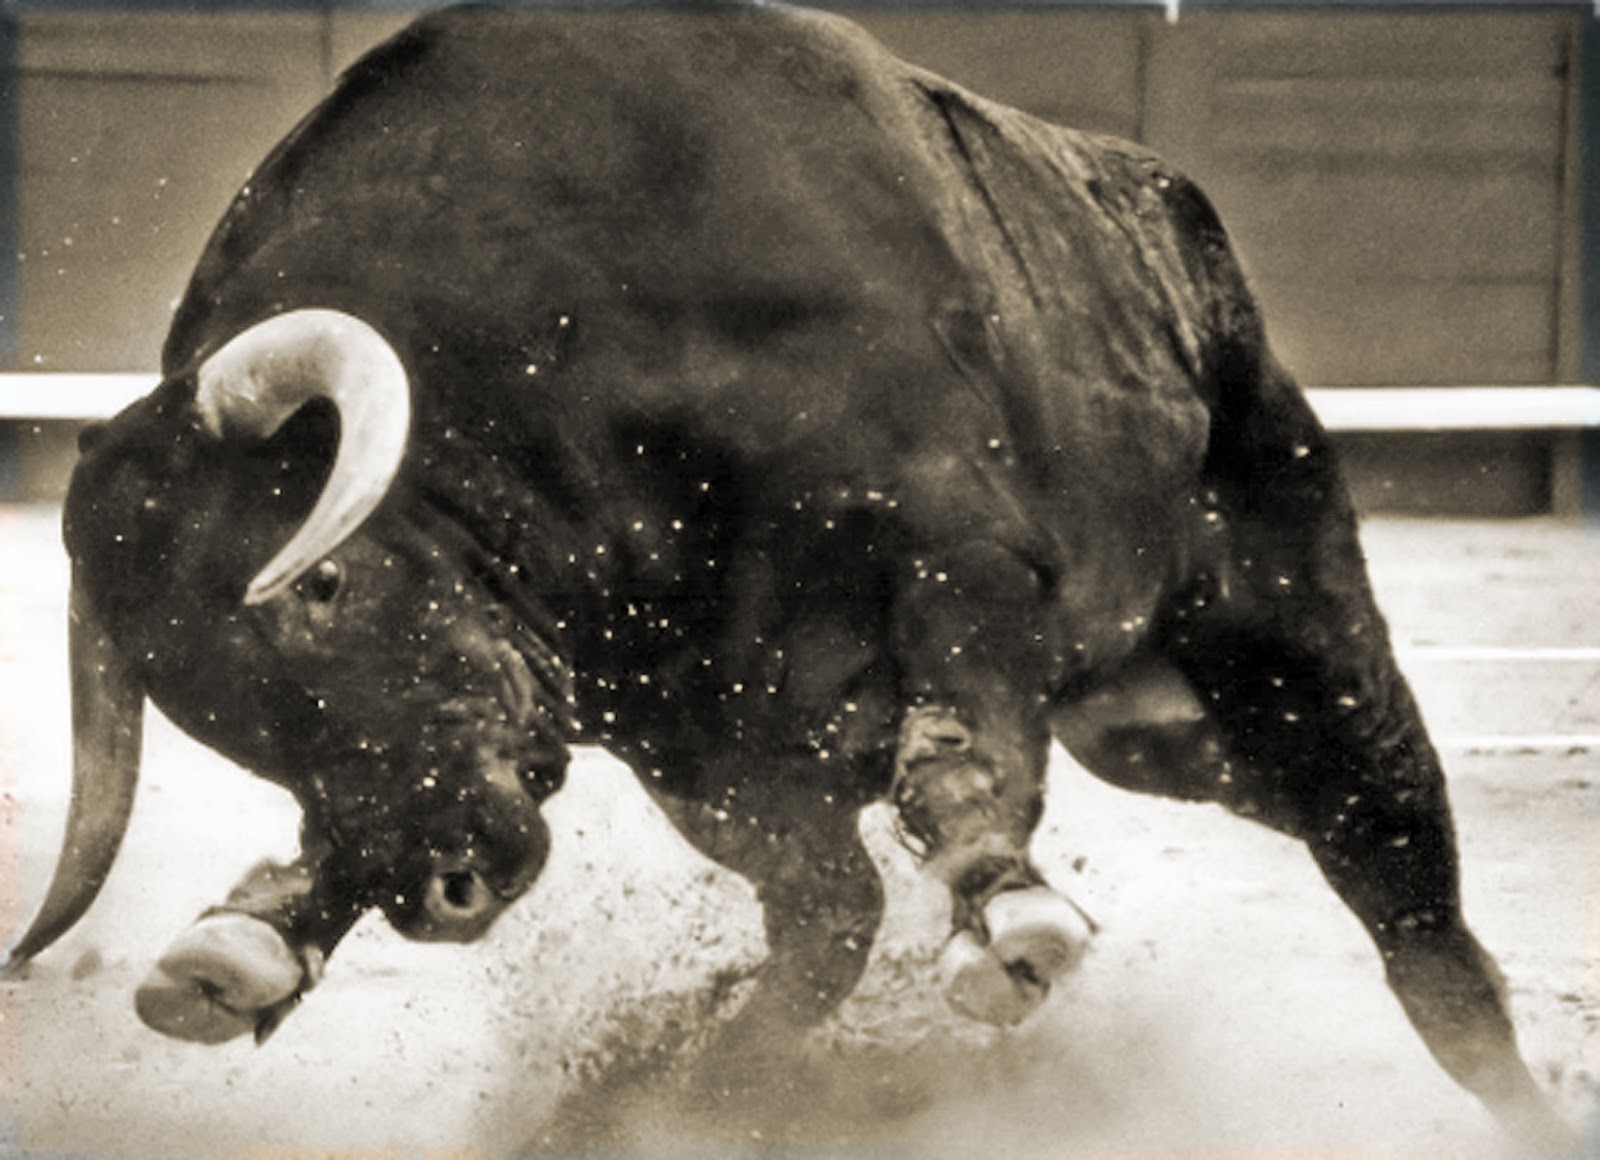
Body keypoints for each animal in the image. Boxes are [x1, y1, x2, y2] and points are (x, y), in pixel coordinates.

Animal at [4, 2, 1570, 1146]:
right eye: (220, 717)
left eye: (320, 591)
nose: (437, 885)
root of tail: (1160, 212)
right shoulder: (694, 746)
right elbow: (829, 909)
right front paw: (250, 941)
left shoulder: (959, 560)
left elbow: (956, 765)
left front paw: (1007, 916)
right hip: (1159, 733)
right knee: (843, 914)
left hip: (1294, 654)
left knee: (1416, 907)